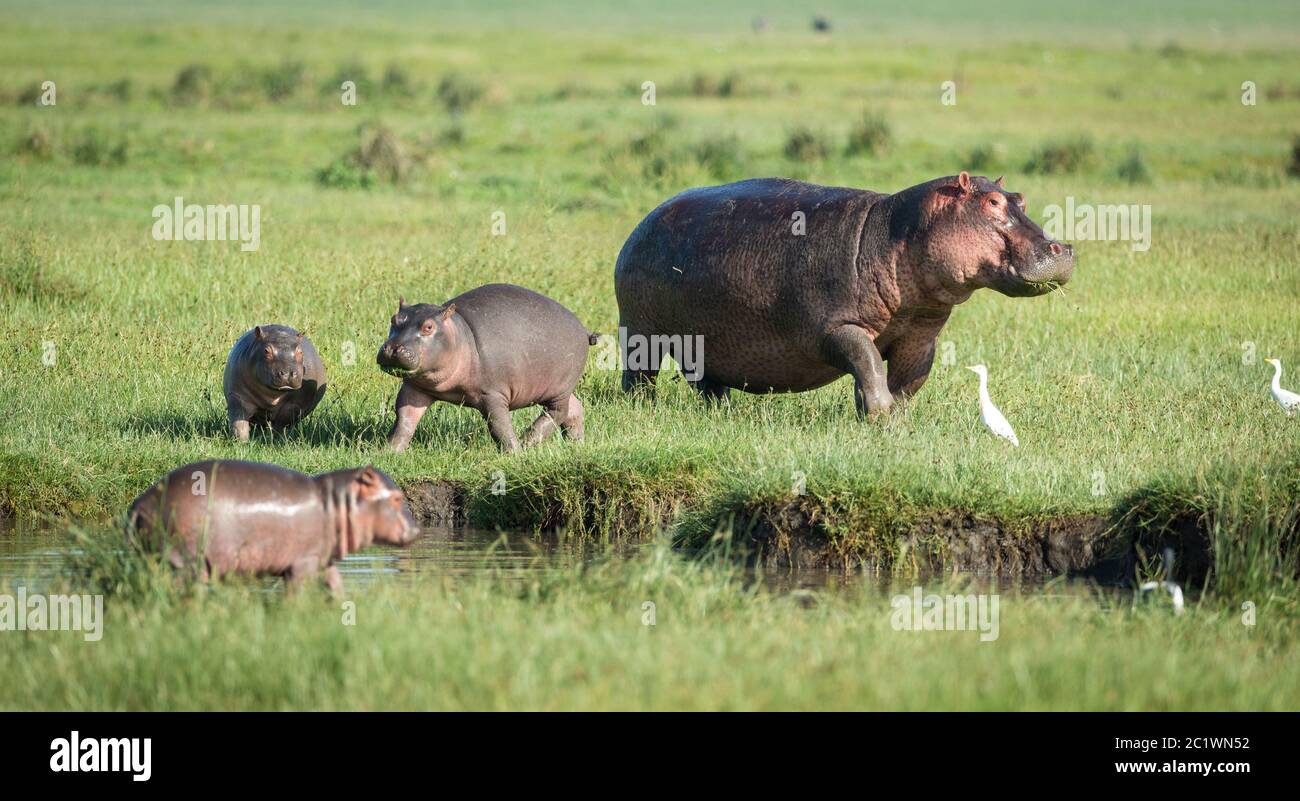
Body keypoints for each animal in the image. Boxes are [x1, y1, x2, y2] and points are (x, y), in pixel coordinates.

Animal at [126, 460, 418, 593]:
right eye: (397, 498)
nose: (417, 530)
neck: (338, 502)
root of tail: (139, 504)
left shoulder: (322, 558)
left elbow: (335, 584)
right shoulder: (303, 562)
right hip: (187, 558)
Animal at [376, 283, 597, 453]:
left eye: (428, 327)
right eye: (393, 320)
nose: (393, 348)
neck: (459, 335)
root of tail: (583, 328)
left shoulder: (492, 394)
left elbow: (499, 426)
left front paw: (514, 453)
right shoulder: (415, 388)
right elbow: (405, 420)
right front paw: (389, 452)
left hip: (560, 389)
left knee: (557, 412)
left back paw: (527, 442)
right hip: (560, 389)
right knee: (575, 410)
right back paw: (576, 446)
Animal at [613, 172, 1074, 417]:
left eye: (1020, 198)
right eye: (993, 202)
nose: (1063, 248)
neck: (896, 231)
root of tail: (645, 219)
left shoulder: (919, 337)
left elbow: (909, 379)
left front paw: (891, 417)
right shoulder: (836, 329)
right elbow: (865, 358)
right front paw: (881, 414)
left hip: (705, 340)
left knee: (708, 381)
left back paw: (723, 413)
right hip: (641, 331)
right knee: (639, 373)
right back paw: (640, 408)